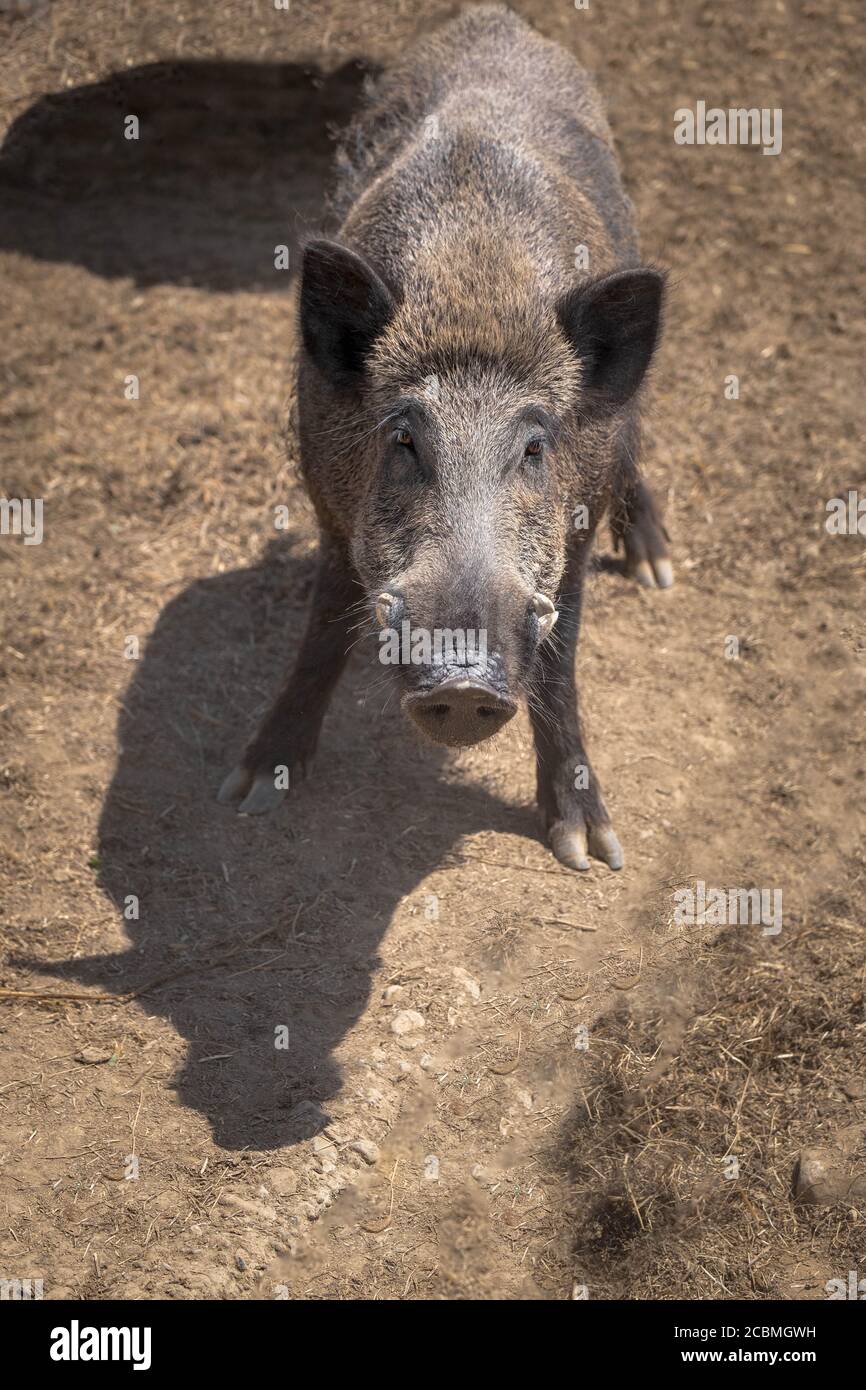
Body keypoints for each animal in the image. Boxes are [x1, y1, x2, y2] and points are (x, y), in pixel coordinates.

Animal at [219, 3, 673, 871]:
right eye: (404, 439)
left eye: (533, 449)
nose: (462, 684)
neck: (475, 297)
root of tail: (493, 19)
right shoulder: (327, 498)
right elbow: (323, 625)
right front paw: (251, 792)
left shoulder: (572, 532)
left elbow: (560, 666)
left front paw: (590, 853)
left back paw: (658, 569)